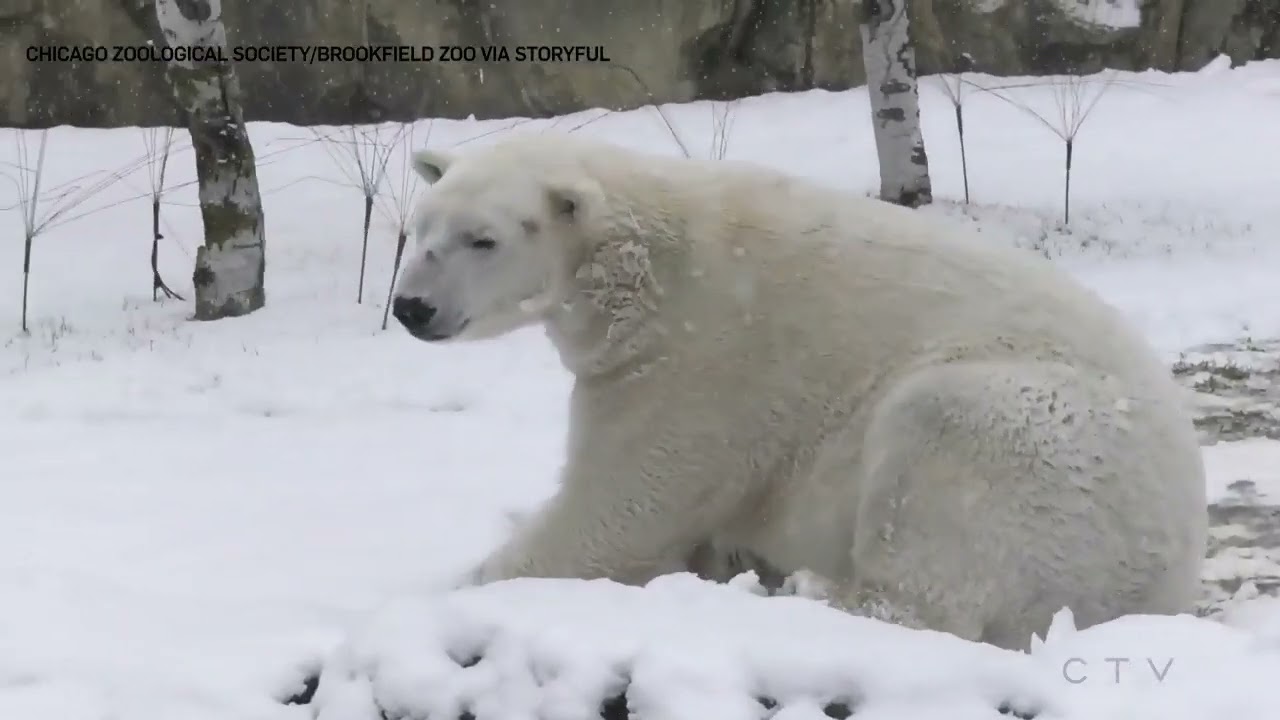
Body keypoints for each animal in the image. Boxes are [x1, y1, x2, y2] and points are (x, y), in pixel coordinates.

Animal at [389, 131, 1207, 651]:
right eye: (418, 228)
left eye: (483, 238)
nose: (411, 307)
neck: (641, 265)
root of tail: (1171, 577)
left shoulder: (698, 359)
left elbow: (620, 507)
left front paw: (466, 582)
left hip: (1051, 450)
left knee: (938, 468)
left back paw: (815, 587)